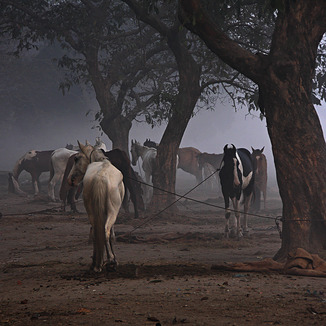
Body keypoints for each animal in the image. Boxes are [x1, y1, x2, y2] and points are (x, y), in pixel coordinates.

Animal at [67, 141, 125, 272]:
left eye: (76, 158)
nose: (70, 180)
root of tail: (101, 176)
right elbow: (111, 235)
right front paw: (113, 259)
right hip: (113, 212)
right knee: (106, 231)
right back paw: (111, 260)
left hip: (91, 211)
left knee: (95, 231)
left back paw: (95, 263)